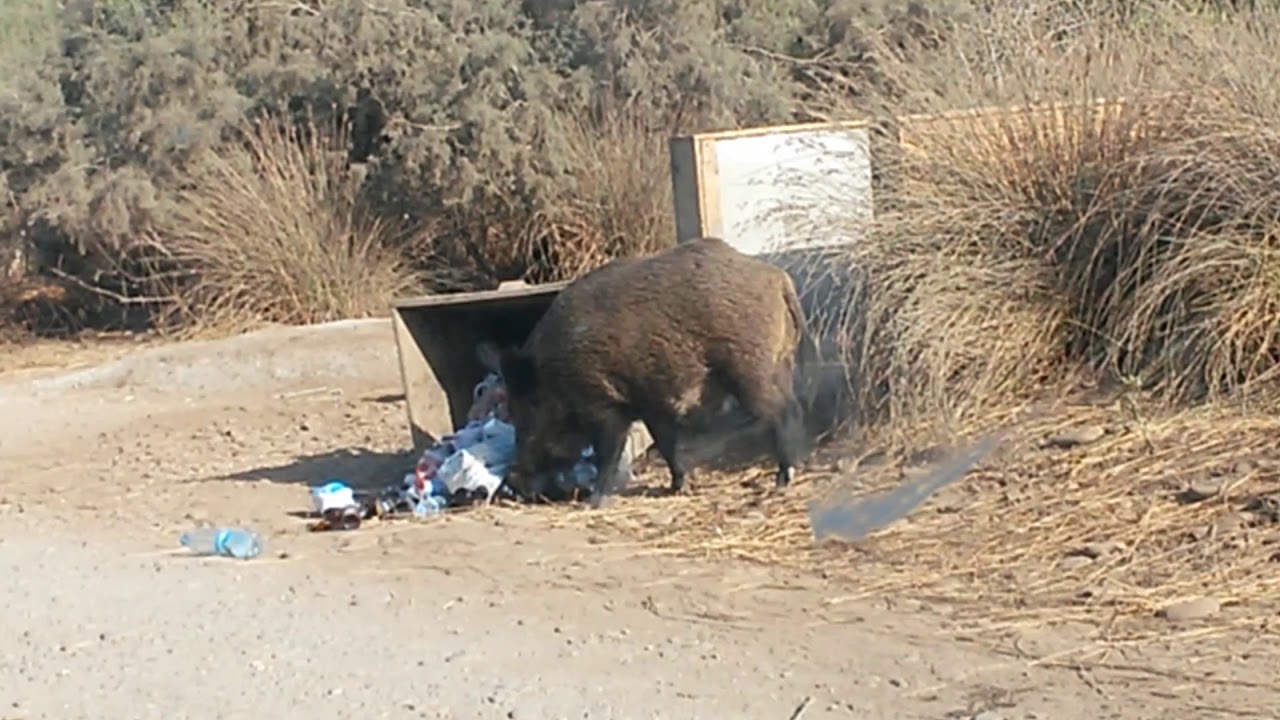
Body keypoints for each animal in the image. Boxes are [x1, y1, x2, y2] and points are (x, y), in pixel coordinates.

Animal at [477, 236, 811, 507]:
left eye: (526, 410)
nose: (513, 480)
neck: (556, 376)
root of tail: (778, 279)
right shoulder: (652, 405)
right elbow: (666, 443)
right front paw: (679, 487)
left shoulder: (604, 406)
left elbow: (607, 453)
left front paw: (593, 503)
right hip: (779, 363)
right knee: (792, 406)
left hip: (751, 368)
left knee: (783, 412)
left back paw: (784, 479)